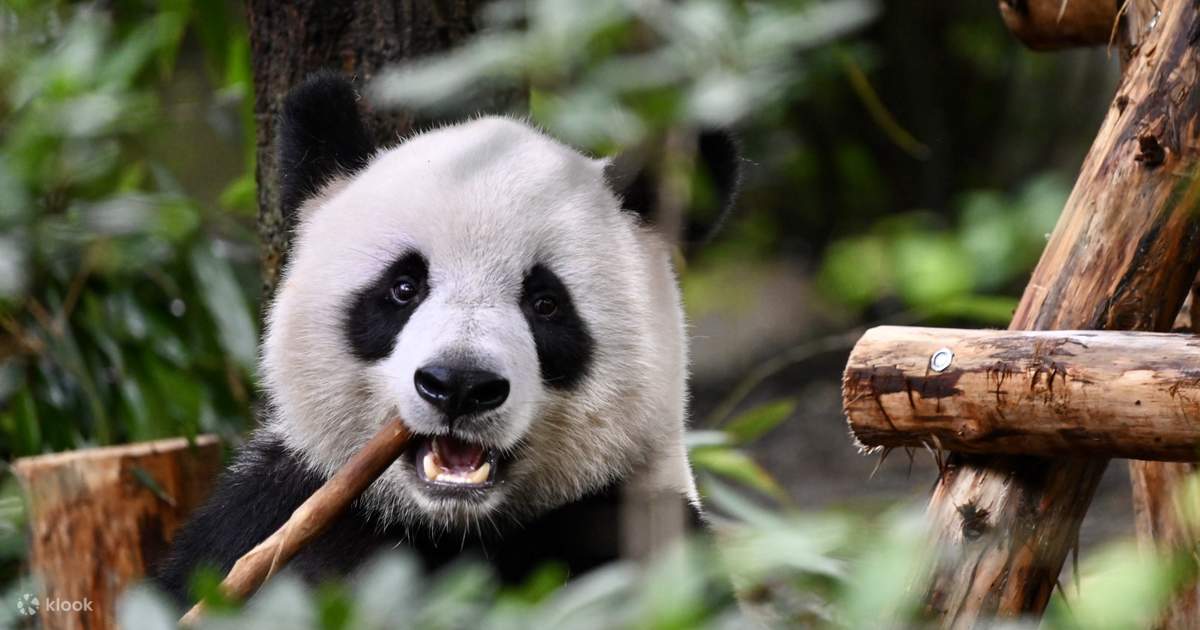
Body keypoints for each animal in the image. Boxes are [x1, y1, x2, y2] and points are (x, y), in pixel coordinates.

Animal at [155, 72, 740, 604]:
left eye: (546, 303)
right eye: (404, 287)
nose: (460, 384)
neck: (446, 525)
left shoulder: (633, 529)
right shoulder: (264, 512)